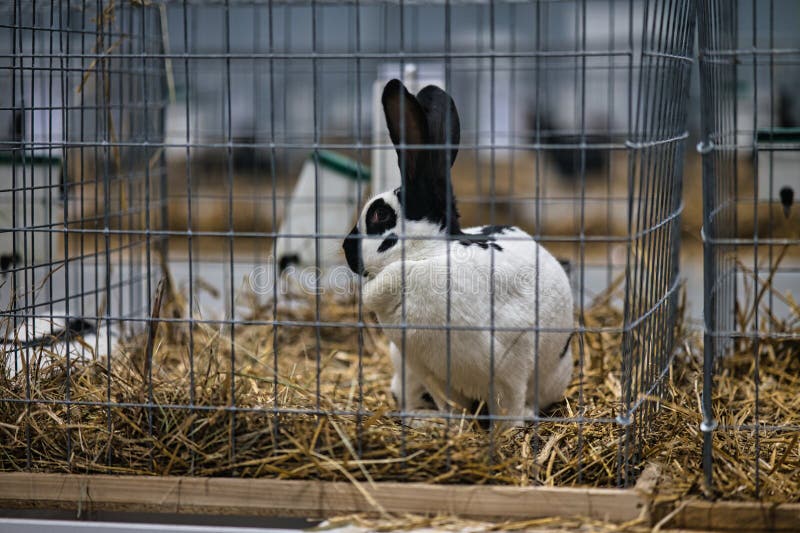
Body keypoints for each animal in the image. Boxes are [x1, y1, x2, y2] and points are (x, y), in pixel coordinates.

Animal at [343, 79, 574, 428]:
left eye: (379, 215)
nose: (346, 249)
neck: (424, 257)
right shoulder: (428, 370)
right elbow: (450, 404)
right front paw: (454, 426)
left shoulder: (511, 366)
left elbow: (510, 405)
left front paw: (509, 433)